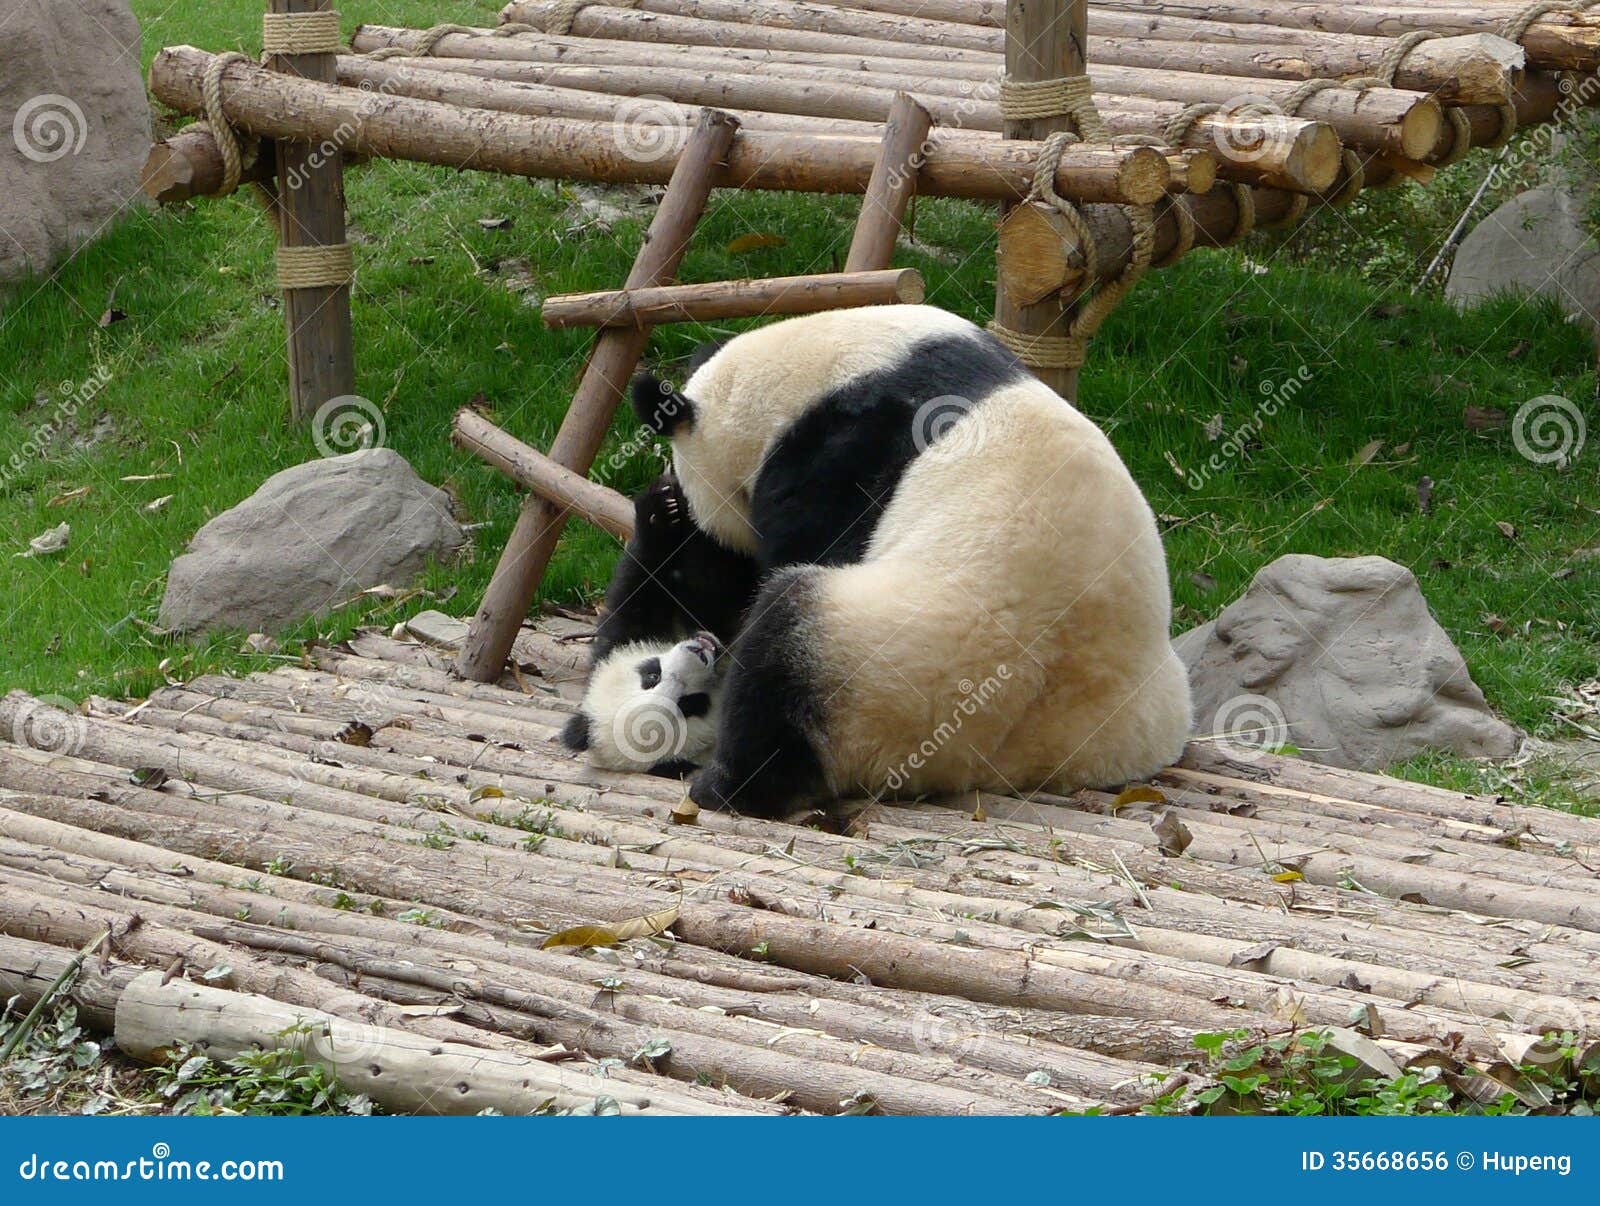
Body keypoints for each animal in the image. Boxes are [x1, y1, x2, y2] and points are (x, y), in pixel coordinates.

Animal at [621, 304, 1193, 817]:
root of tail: (1032, 759)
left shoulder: (840, 455)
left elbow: (787, 558)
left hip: (907, 673)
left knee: (790, 634)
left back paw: (732, 785)